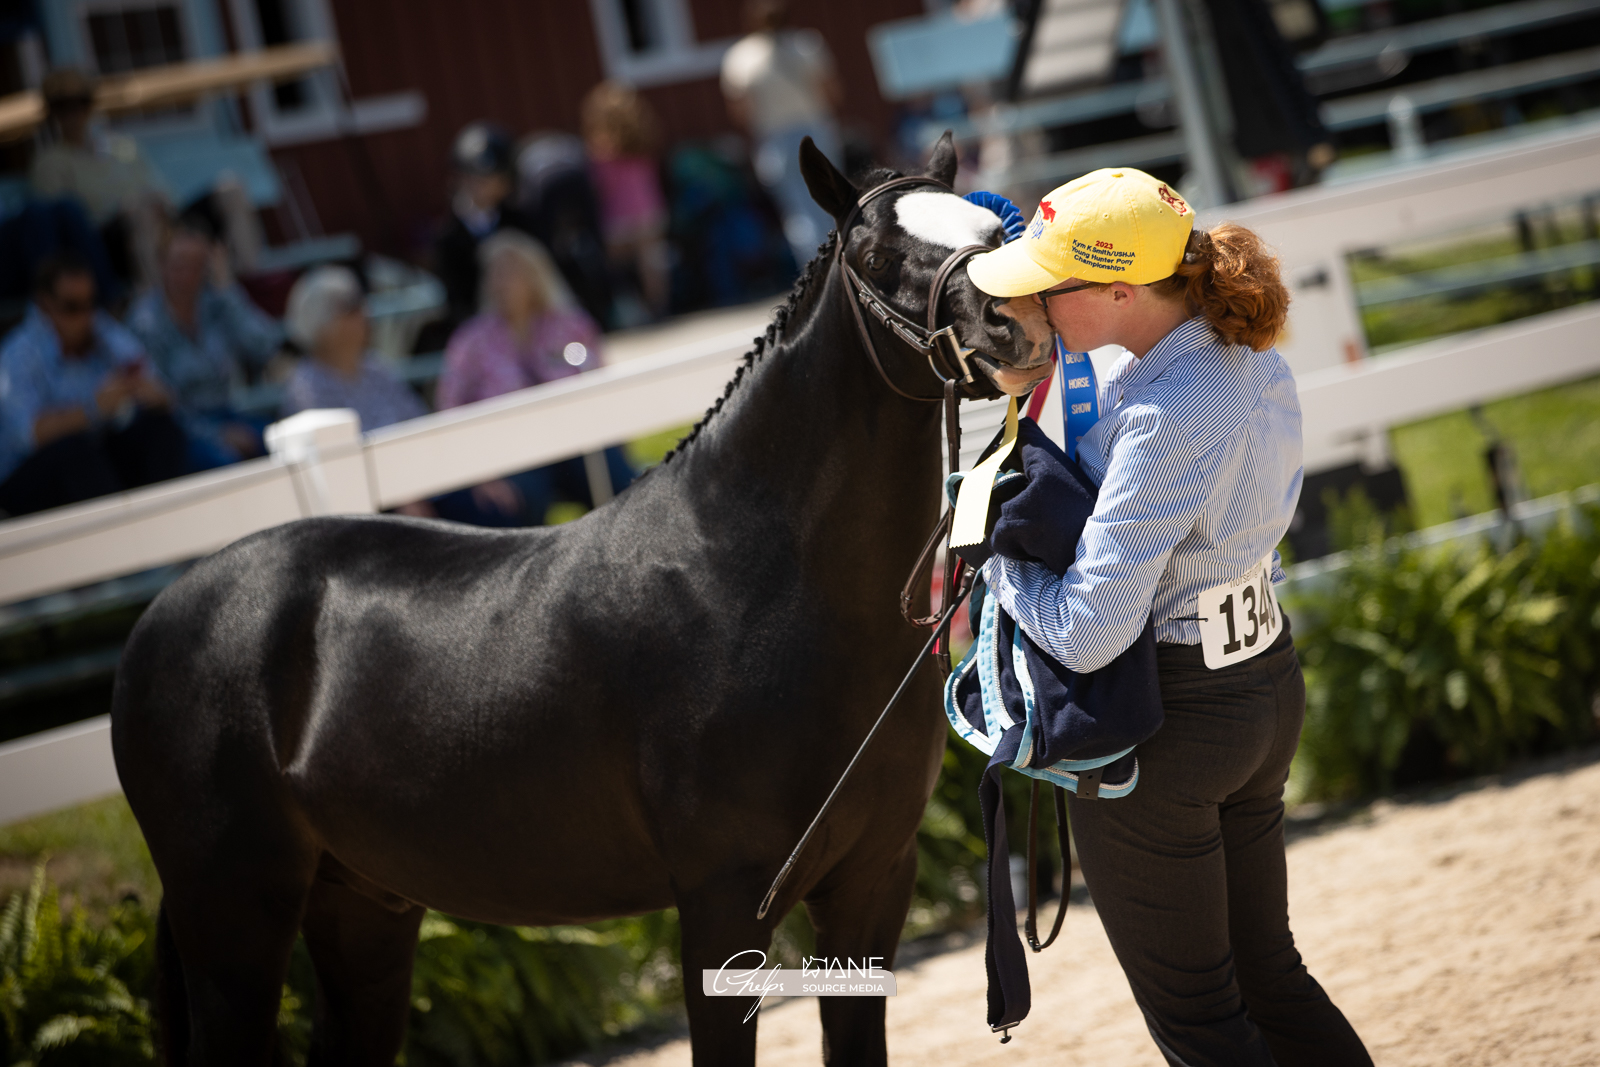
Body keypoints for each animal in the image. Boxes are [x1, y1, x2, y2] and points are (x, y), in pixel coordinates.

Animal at [110, 135, 1055, 1066]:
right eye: (876, 255)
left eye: (993, 230)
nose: (1017, 327)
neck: (763, 583)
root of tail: (158, 619)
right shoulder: (722, 904)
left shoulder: (871, 885)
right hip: (235, 918)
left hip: (361, 908)